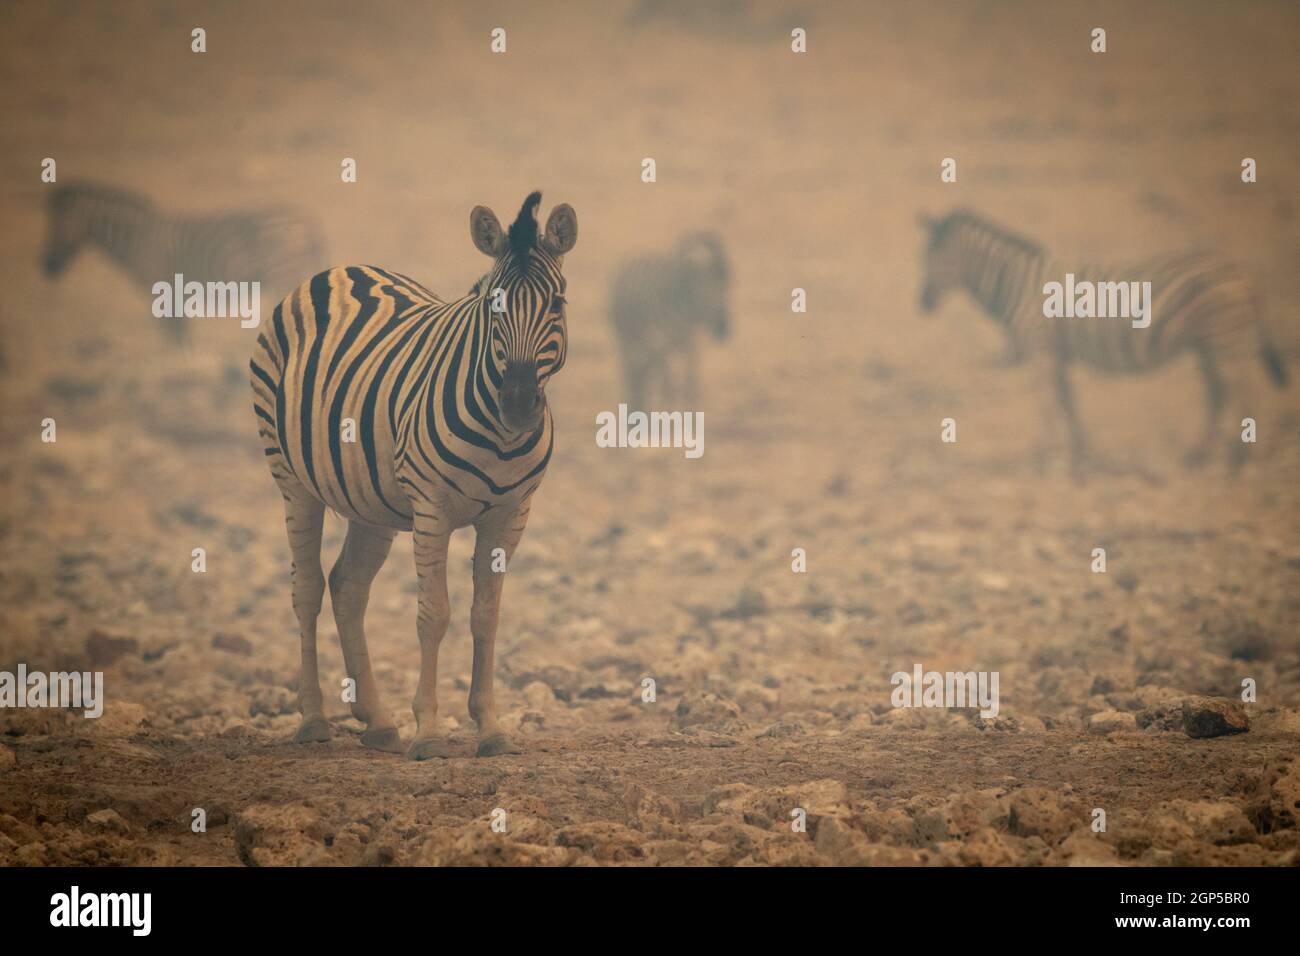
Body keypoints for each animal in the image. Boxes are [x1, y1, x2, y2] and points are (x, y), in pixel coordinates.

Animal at [42, 181, 325, 346]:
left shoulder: (162, 291)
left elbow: (175, 340)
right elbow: (182, 338)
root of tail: (306, 220)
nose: (46, 267)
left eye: (57, 226)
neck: (136, 240)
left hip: (283, 272)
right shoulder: (175, 295)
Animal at [249, 191, 577, 759]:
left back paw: (379, 722)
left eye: (556, 304)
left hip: (370, 500)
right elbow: (435, 614)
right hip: (291, 478)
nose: (517, 405)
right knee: (307, 588)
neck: (500, 435)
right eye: (491, 306)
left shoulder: (511, 515)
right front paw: (427, 732)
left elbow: (485, 615)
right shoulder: (432, 509)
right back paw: (313, 720)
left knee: (348, 586)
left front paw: (490, 728)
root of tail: (337, 270)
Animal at [609, 232, 730, 409]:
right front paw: (668, 411)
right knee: (631, 372)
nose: (724, 329)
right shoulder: (661, 343)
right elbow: (670, 389)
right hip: (625, 337)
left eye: (729, 284)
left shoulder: (690, 344)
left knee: (644, 372)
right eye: (707, 284)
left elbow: (690, 385)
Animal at [917, 209, 1288, 472]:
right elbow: (1068, 401)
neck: (1017, 283)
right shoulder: (1057, 352)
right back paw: (1199, 457)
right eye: (923, 260)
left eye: (939, 261)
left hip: (1225, 339)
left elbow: (1048, 403)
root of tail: (1241, 270)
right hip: (1207, 344)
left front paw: (1041, 458)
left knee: (1244, 393)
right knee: (1219, 395)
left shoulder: (1042, 348)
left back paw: (1243, 460)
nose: (922, 304)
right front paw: (1081, 454)